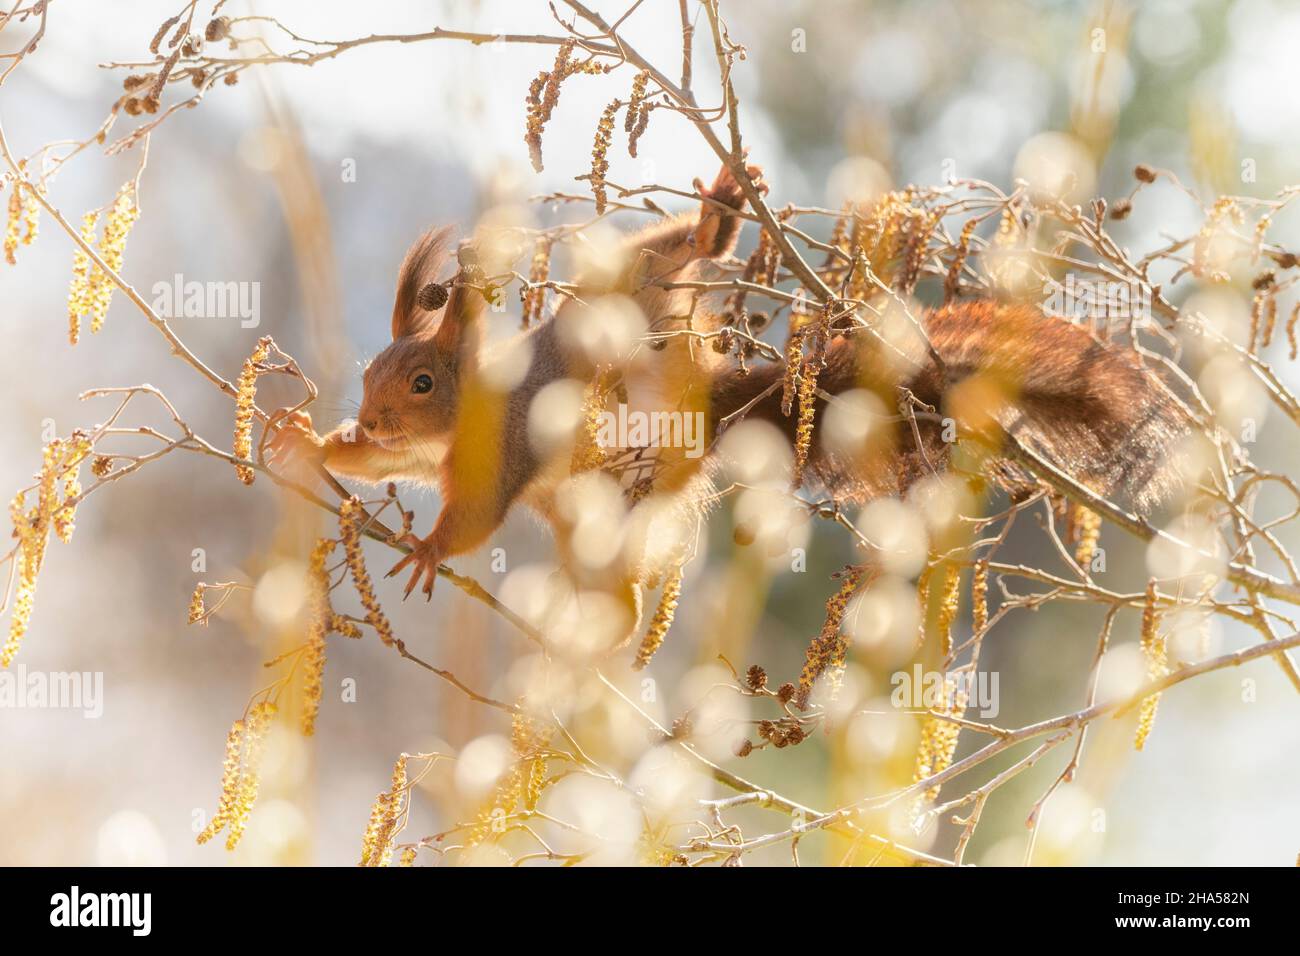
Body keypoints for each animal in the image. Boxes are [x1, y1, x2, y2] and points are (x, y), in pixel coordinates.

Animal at [270, 163, 1188, 603]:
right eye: (371, 378)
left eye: (423, 381)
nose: (370, 418)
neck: (459, 423)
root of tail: (708, 409)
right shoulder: (421, 461)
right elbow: (380, 470)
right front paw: (305, 444)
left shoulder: (498, 454)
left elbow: (475, 519)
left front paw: (427, 548)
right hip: (605, 504)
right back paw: (607, 632)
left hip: (632, 292)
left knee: (678, 249)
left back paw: (718, 215)